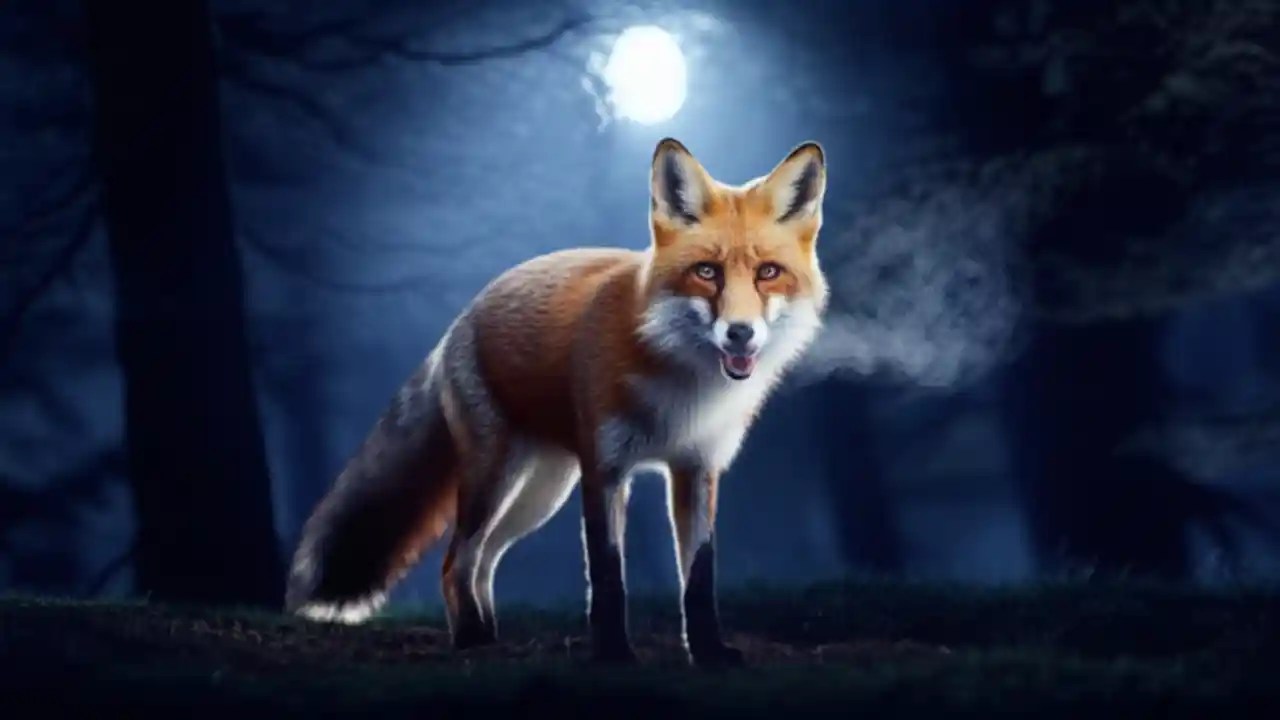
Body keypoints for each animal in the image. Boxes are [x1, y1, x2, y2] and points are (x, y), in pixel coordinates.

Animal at [284, 137, 829, 667]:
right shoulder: (605, 470)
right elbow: (607, 576)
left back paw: (491, 632)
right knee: (456, 558)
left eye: (768, 272)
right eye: (707, 272)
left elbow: (699, 579)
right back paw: (472, 640)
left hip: (541, 493)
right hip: (496, 478)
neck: (681, 383)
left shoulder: (696, 469)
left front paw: (710, 653)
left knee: (485, 558)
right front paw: (613, 656)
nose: (740, 333)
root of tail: (462, 317)